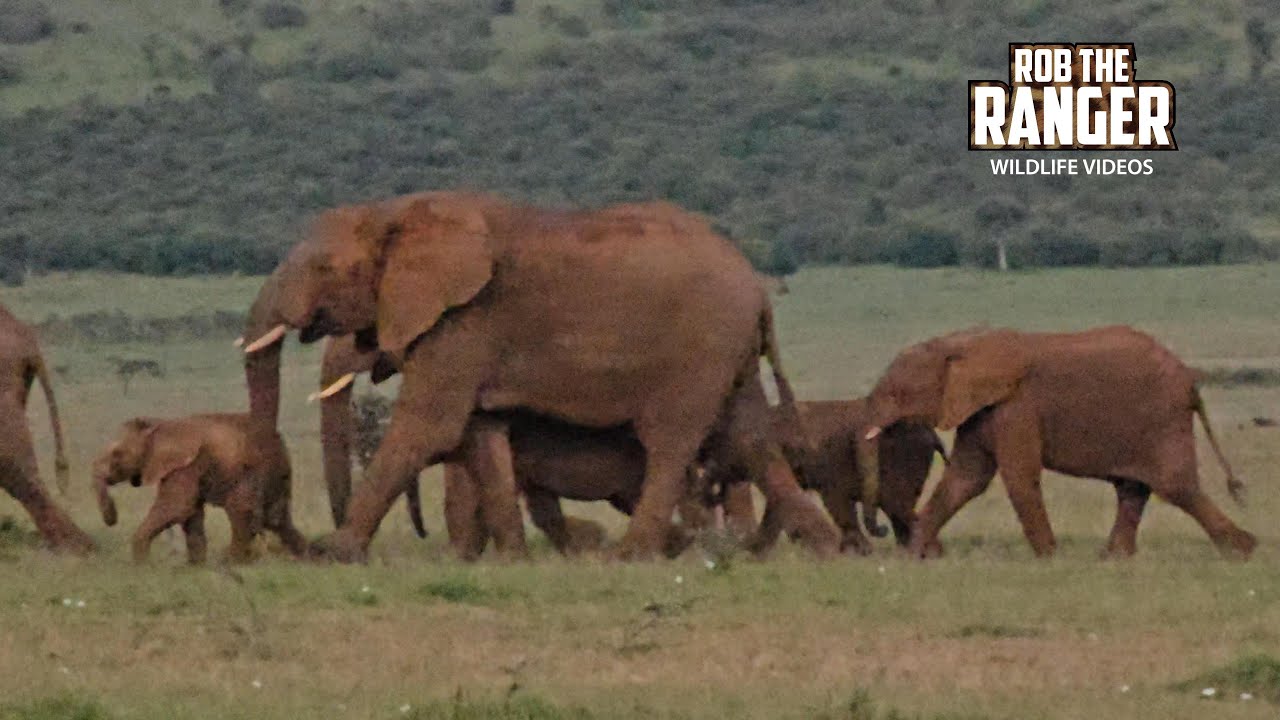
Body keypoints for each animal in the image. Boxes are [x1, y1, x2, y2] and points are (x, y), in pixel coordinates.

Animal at [92, 414, 306, 563]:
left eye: (117, 454)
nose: (112, 519)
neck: (160, 424)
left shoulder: (186, 466)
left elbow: (177, 506)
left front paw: (141, 565)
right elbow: (190, 512)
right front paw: (194, 567)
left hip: (252, 471)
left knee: (242, 512)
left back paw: (230, 562)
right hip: (276, 477)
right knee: (277, 519)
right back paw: (302, 558)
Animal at [240, 191, 839, 561]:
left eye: (325, 268)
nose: (302, 544)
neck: (400, 210)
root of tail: (758, 289)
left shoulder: (466, 323)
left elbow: (429, 427)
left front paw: (336, 555)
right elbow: (479, 434)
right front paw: (511, 559)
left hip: (698, 351)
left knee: (672, 442)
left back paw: (633, 556)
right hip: (729, 353)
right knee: (750, 438)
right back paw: (819, 549)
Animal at [860, 325, 1256, 559]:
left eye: (895, 393)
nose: (881, 532)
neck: (963, 343)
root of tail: (1190, 380)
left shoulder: (1016, 406)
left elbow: (1018, 478)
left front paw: (1050, 558)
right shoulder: (981, 410)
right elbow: (965, 480)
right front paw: (910, 557)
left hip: (1162, 418)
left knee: (1175, 485)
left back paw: (1243, 551)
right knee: (1133, 488)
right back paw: (1113, 559)